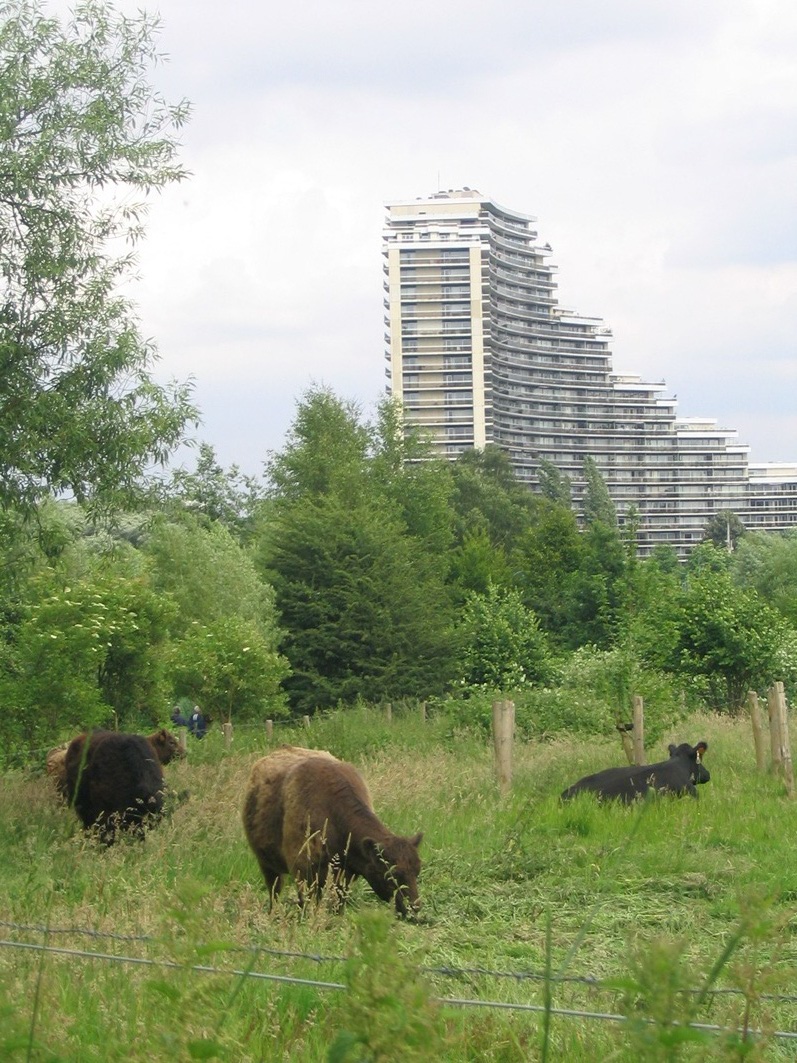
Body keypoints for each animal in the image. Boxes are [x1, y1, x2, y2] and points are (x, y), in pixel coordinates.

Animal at [243, 748, 427, 914]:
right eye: (393, 874)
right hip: (266, 863)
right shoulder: (303, 869)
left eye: (417, 870)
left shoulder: (345, 874)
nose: (414, 906)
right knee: (274, 891)